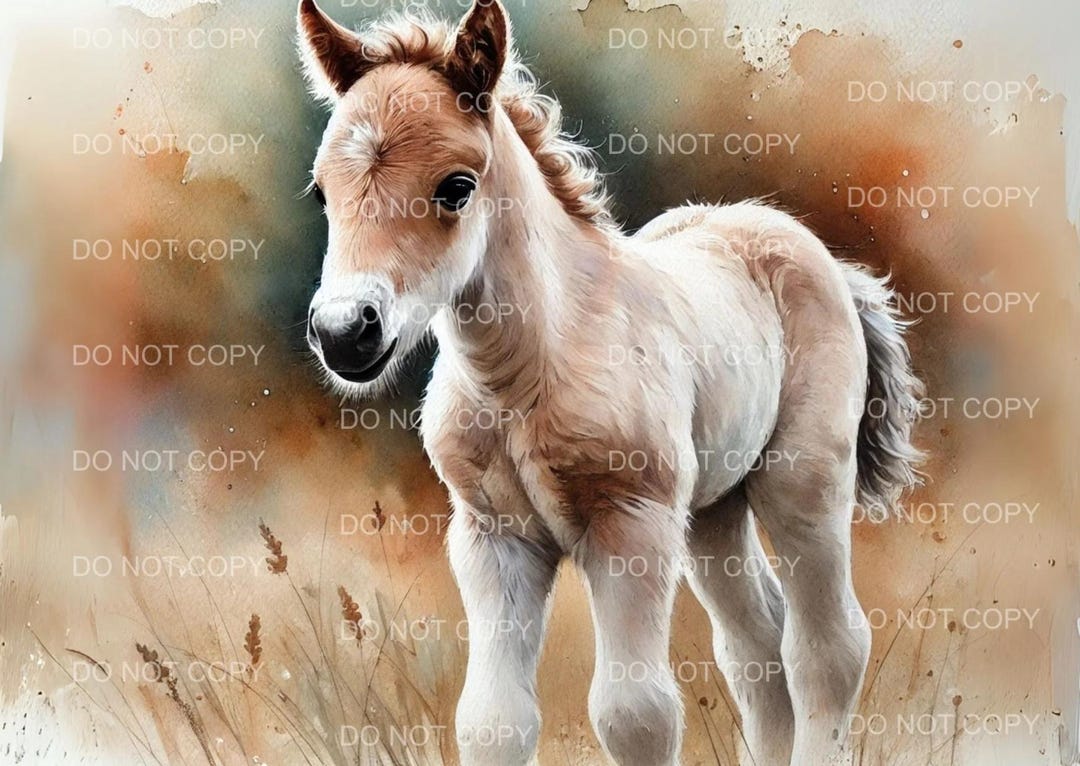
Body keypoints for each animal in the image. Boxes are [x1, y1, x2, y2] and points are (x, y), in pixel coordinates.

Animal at [296, 1, 923, 764]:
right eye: (322, 192)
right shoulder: (492, 540)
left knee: (827, 648)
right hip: (713, 509)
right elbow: (493, 721)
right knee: (755, 646)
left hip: (803, 481)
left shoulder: (630, 528)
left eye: (456, 187)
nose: (343, 332)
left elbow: (635, 714)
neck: (520, 380)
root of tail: (814, 252)